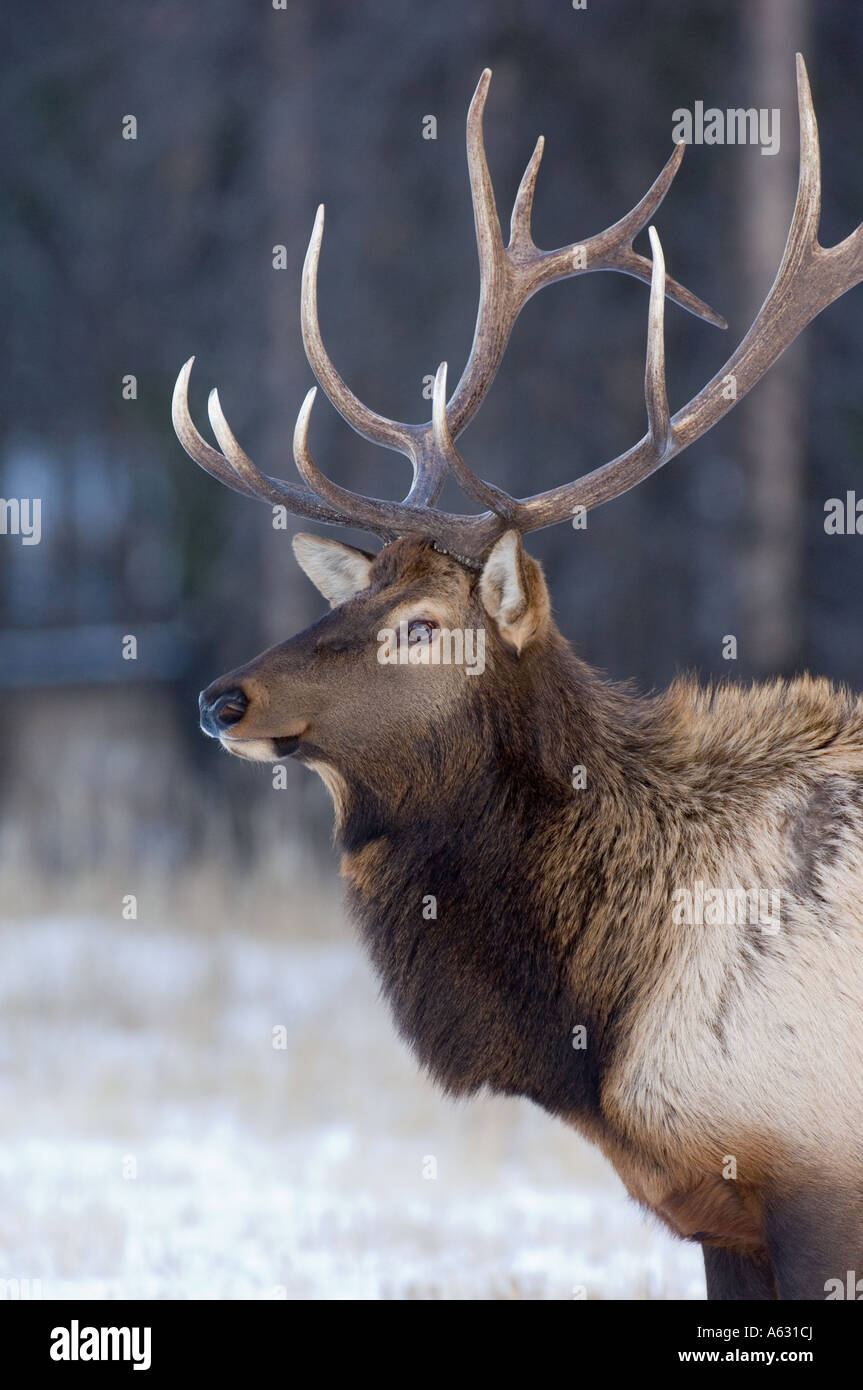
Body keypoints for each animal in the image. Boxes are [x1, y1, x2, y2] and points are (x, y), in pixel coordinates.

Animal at [173, 56, 863, 1300]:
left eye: (422, 625)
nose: (221, 699)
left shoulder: (817, 1174)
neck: (608, 1015)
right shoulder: (727, 1213)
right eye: (347, 595)